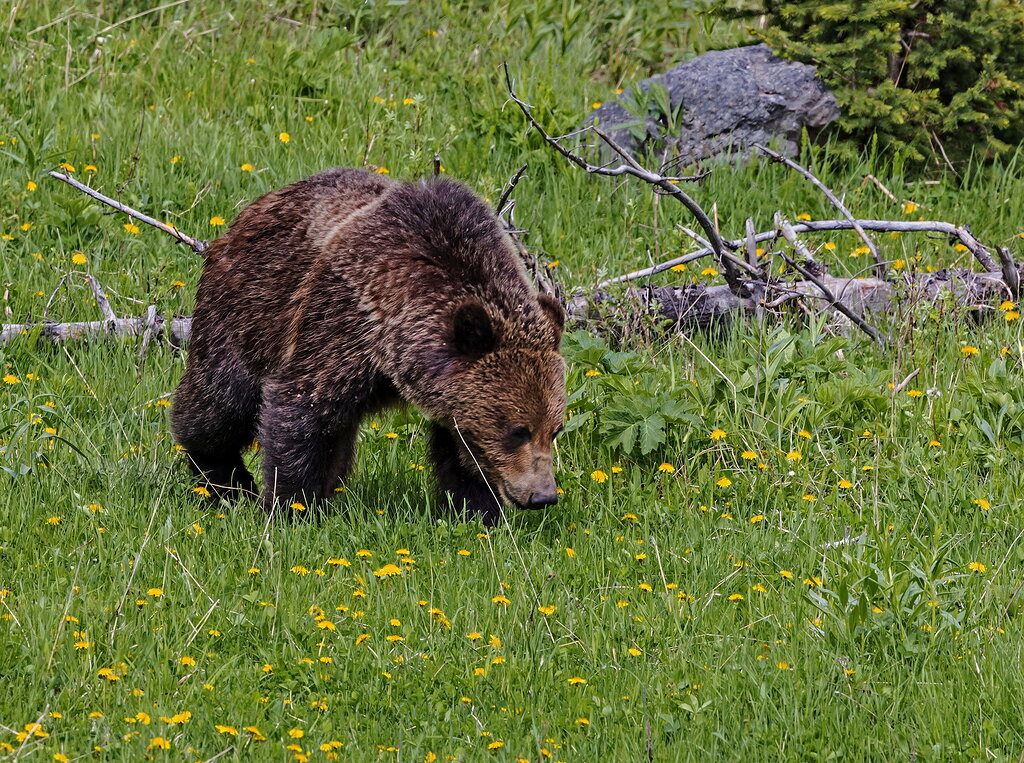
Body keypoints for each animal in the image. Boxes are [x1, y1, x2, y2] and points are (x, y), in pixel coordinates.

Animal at [171, 167, 566, 525]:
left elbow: (461, 450)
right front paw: (290, 507)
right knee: (220, 403)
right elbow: (299, 407)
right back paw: (226, 481)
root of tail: (247, 213)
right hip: (247, 312)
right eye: (518, 430)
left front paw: (478, 513)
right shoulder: (341, 324)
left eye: (555, 428)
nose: (543, 496)